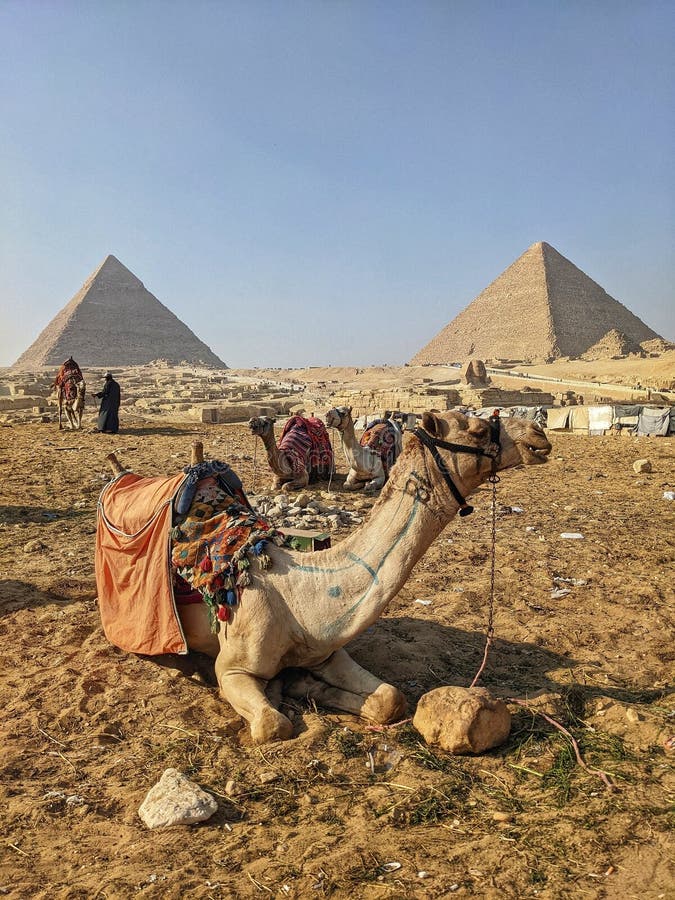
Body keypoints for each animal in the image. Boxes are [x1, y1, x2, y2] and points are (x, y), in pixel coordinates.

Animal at [104, 410, 550, 745]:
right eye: (477, 429)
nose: (539, 434)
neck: (303, 595)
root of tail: (119, 476)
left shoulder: (328, 650)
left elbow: (391, 699)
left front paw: (308, 687)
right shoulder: (231, 668)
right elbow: (273, 724)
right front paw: (291, 691)